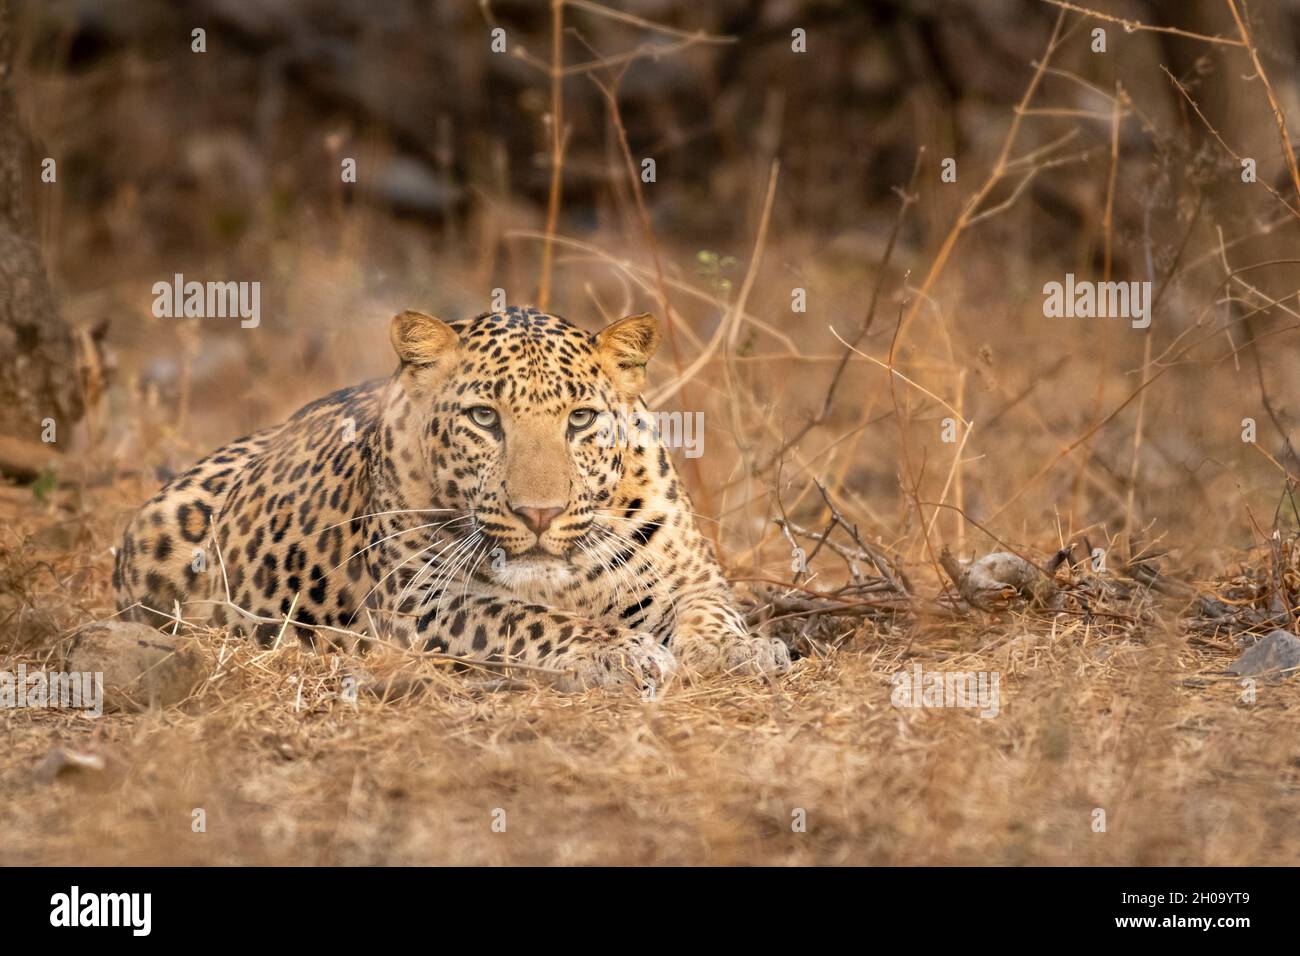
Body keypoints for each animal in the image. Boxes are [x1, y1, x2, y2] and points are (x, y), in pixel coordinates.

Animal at [113, 307, 791, 691]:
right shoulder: (425, 603)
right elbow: (530, 618)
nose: (539, 514)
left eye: (580, 420)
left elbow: (711, 612)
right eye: (484, 418)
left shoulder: (693, 577)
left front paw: (744, 651)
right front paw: (620, 652)